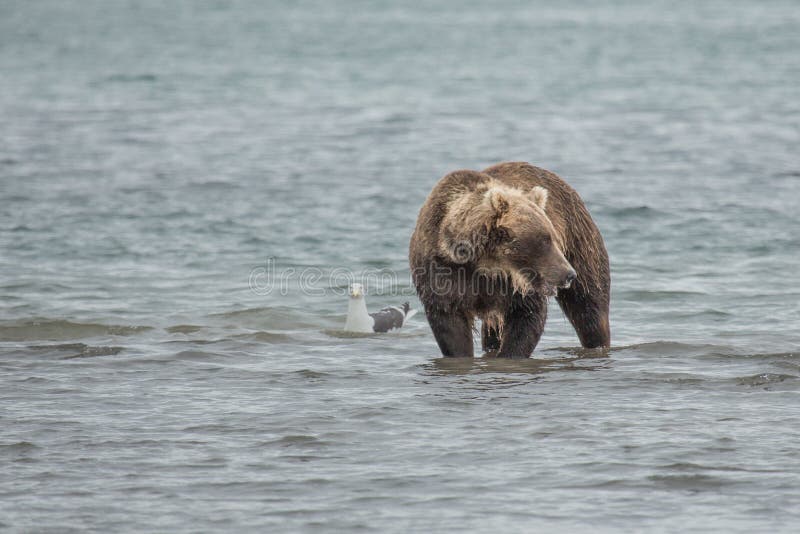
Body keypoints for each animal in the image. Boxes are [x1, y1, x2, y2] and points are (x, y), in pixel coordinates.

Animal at [408, 161, 610, 358]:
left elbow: (527, 319)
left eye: (554, 237)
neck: (486, 263)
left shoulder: (517, 287)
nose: (569, 274)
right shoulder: (441, 271)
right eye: (545, 239)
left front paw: (509, 355)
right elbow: (450, 327)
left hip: (581, 242)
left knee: (589, 308)